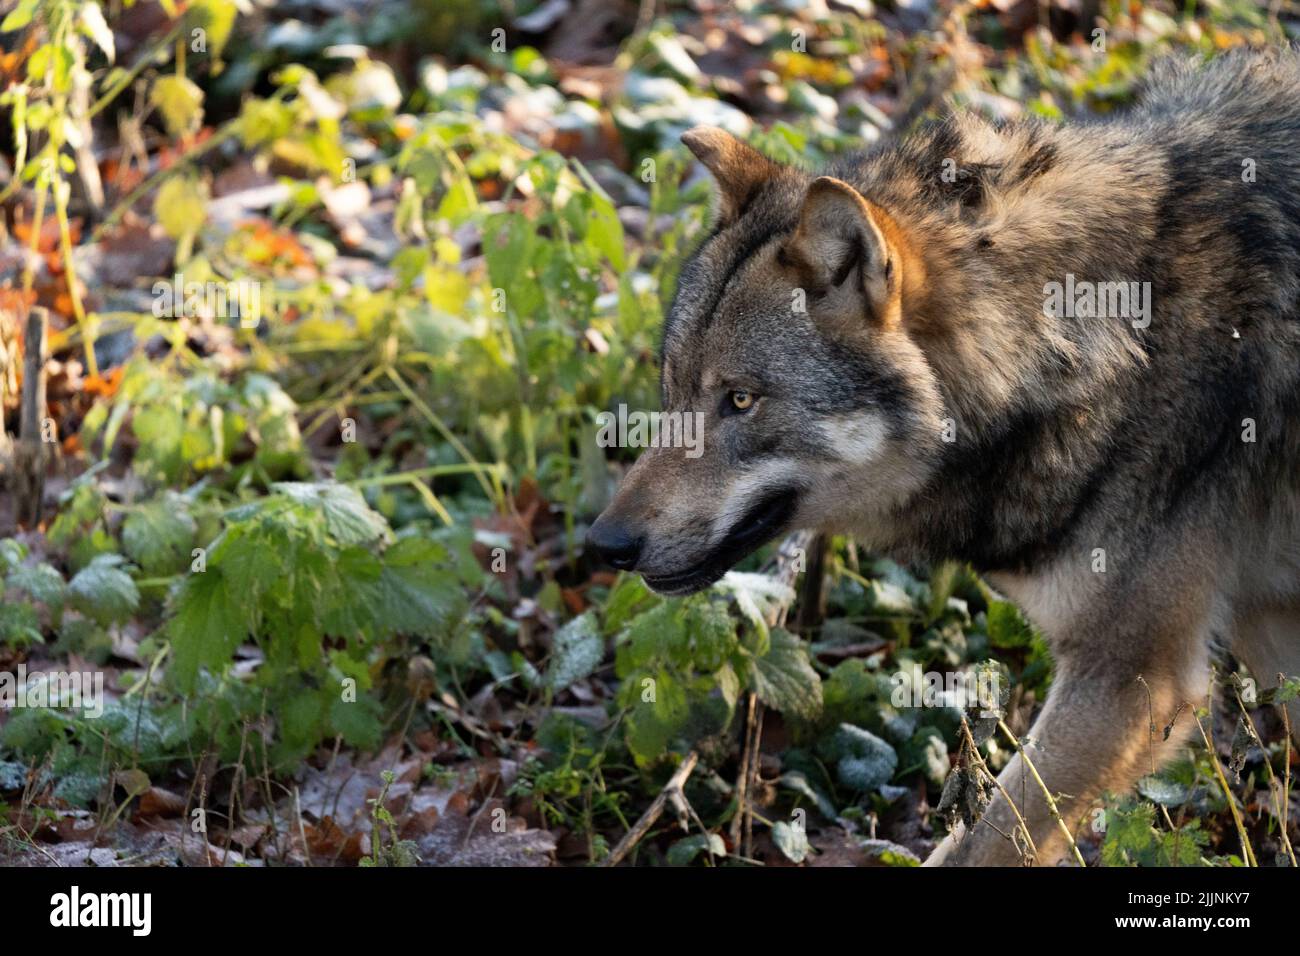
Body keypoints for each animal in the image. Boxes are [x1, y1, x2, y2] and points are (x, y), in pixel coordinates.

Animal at [586, 47, 1300, 865]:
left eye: (739, 400)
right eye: (671, 389)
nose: (604, 544)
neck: (1094, 340)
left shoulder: (1131, 681)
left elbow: (984, 843)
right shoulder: (1266, 630)